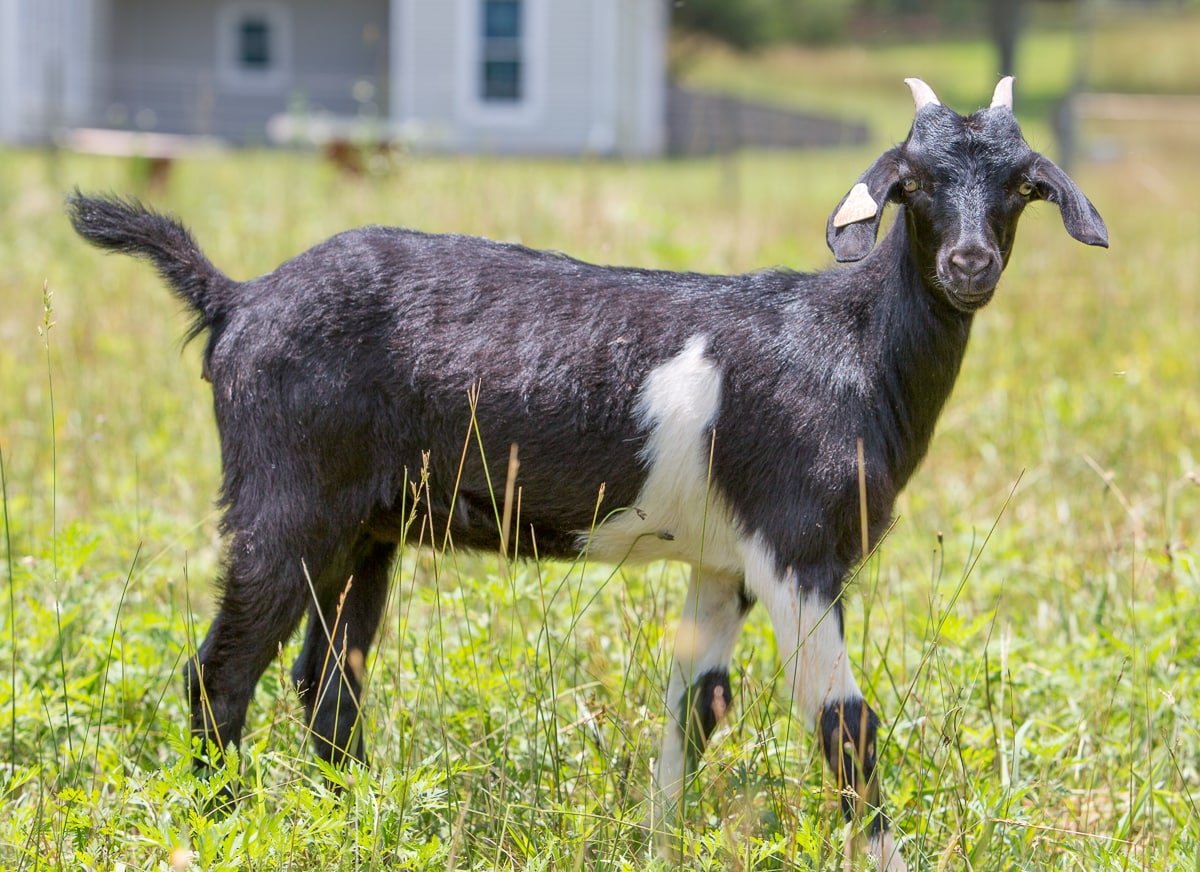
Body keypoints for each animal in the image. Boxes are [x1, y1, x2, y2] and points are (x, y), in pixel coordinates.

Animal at [67, 78, 1106, 870]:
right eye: (913, 183)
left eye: (1022, 184)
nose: (969, 263)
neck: (850, 347)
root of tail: (235, 299)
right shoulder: (797, 544)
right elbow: (847, 724)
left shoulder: (724, 560)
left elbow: (697, 706)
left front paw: (658, 842)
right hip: (286, 497)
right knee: (222, 674)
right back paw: (221, 827)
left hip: (367, 523)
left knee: (330, 681)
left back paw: (354, 818)